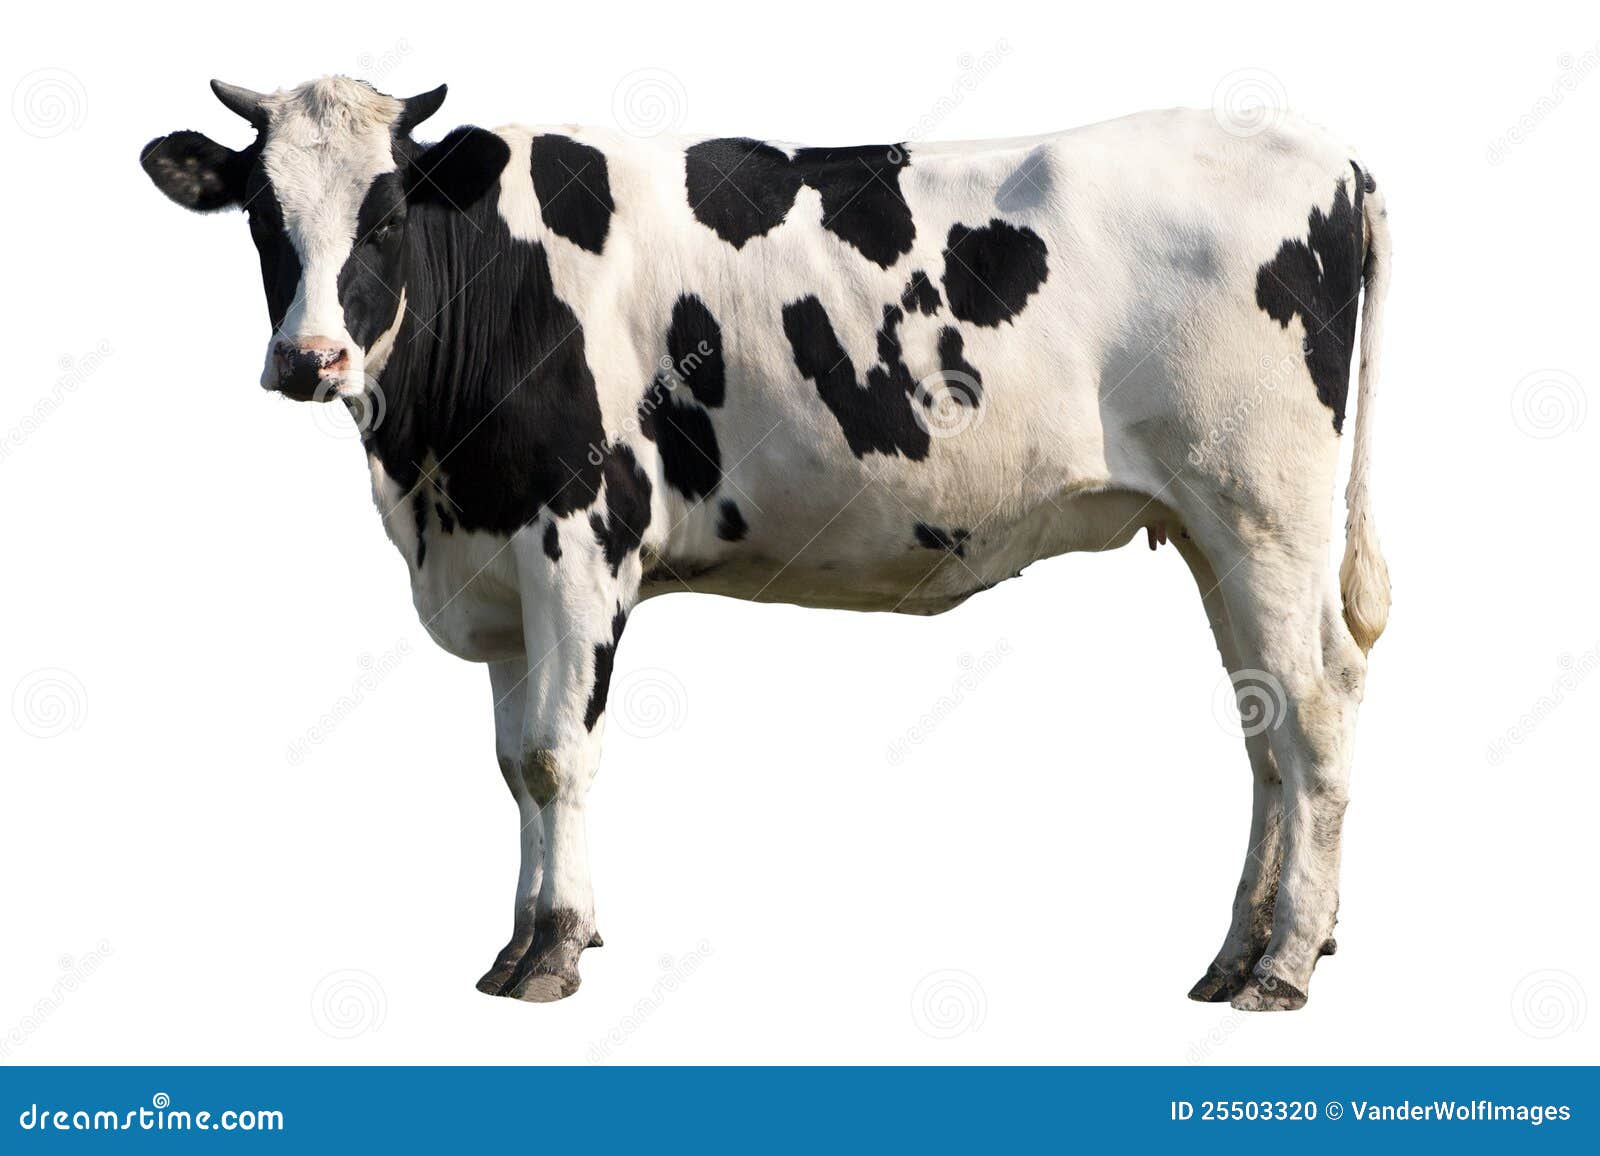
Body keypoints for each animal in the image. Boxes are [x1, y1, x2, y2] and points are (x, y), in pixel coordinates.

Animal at [141, 75, 1390, 1010]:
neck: (428, 478)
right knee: (1264, 729)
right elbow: (512, 764)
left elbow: (556, 754)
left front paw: (554, 949)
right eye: (261, 215)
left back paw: (1283, 963)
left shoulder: (578, 543)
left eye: (389, 215)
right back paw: (1238, 951)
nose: (309, 359)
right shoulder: (498, 569)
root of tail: (1328, 153)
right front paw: (521, 941)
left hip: (1263, 511)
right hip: (1210, 529)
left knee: (1318, 713)